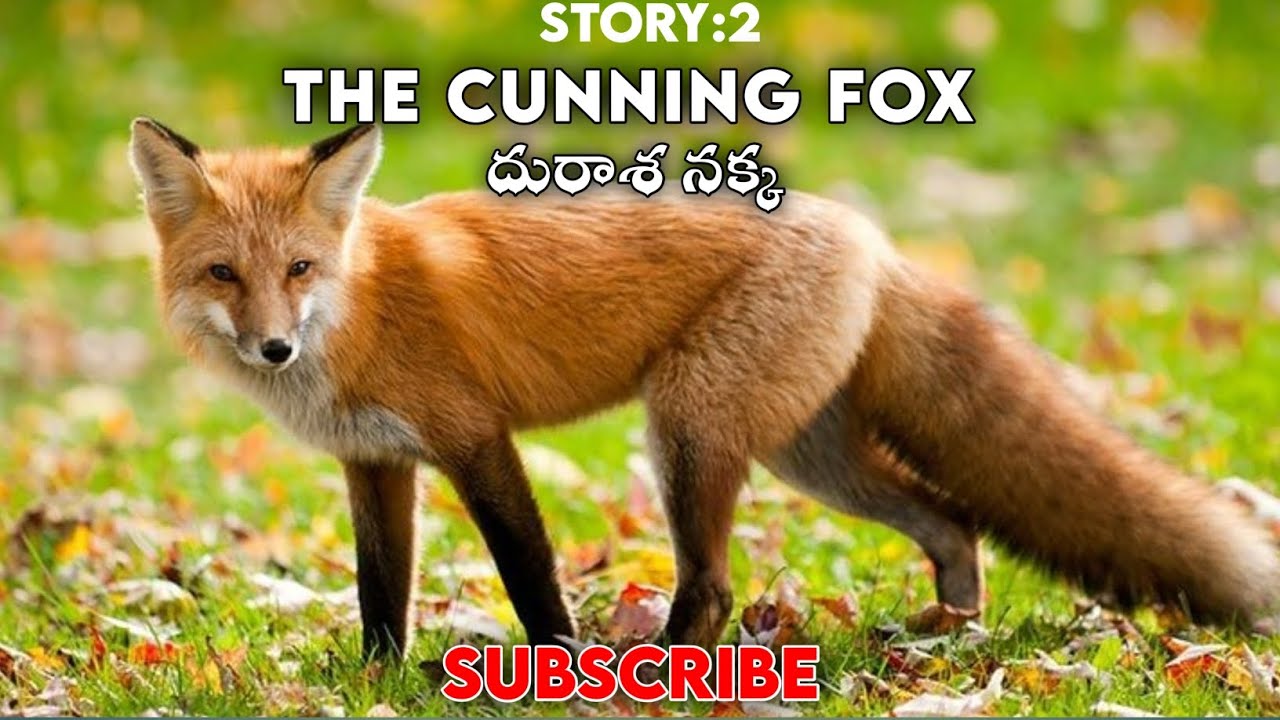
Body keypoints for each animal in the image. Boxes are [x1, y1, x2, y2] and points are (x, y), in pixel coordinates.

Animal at [128, 118, 1280, 660]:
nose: (274, 350)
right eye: (225, 275)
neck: (360, 307)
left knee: (717, 586)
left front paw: (558, 672)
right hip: (807, 457)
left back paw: (666, 676)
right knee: (951, 519)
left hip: (686, 432)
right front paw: (375, 685)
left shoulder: (475, 439)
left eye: (299, 269)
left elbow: (529, 576)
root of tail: (864, 230)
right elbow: (381, 597)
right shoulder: (374, 464)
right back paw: (947, 629)